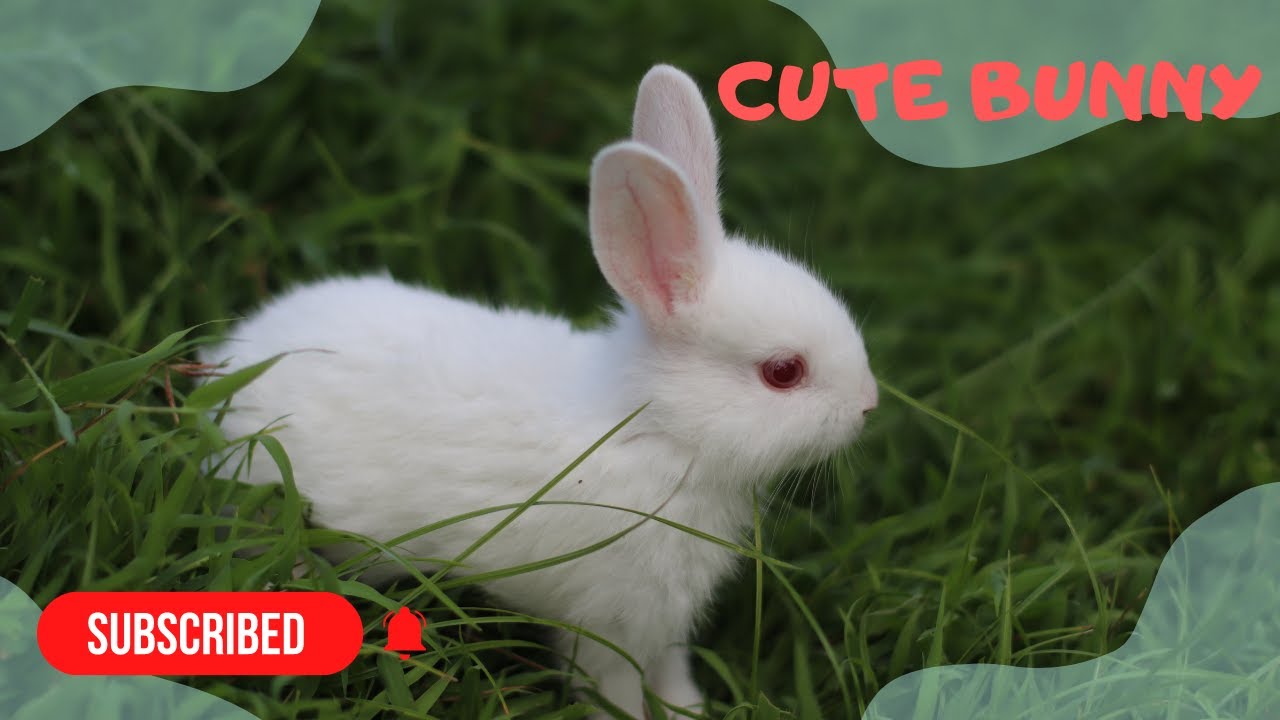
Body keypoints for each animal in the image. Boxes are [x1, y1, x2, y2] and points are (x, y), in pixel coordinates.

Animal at [198, 64, 878, 719]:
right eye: (783, 372)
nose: (869, 404)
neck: (656, 431)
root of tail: (228, 361)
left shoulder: (663, 622)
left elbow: (671, 672)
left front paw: (689, 711)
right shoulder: (607, 622)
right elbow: (614, 690)